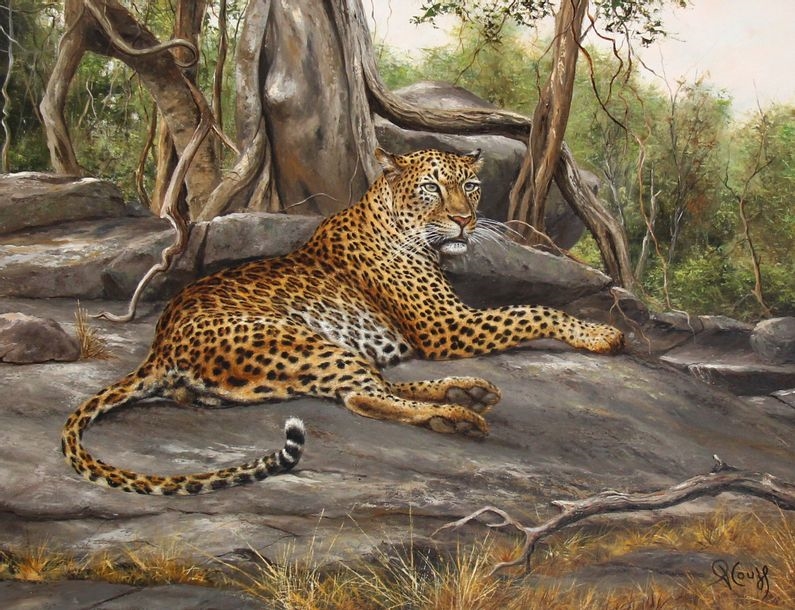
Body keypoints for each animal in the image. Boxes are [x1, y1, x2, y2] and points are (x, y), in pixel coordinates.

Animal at [62, 148, 624, 496]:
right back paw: (458, 415)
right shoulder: (448, 325)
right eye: (432, 188)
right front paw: (602, 334)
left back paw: (467, 392)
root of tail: (157, 348)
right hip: (304, 340)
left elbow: (531, 309)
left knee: (374, 385)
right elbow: (536, 309)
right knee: (363, 396)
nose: (465, 221)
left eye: (471, 186)